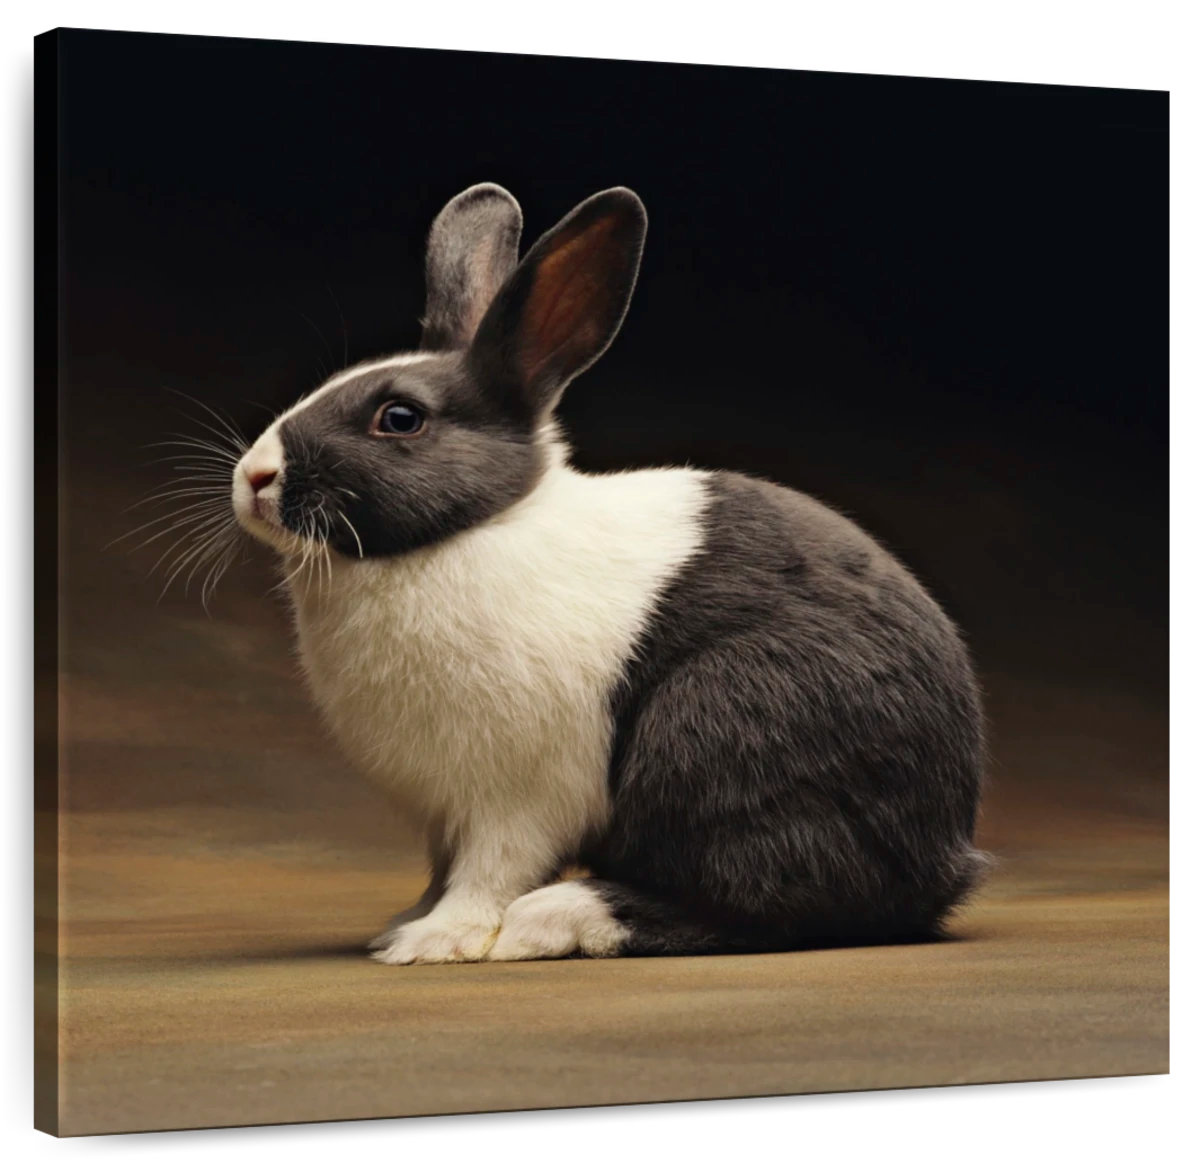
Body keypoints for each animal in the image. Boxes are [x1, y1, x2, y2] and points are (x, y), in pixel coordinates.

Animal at [231, 183, 987, 964]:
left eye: (400, 417)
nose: (254, 477)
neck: (470, 532)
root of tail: (944, 857)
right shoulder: (447, 813)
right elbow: (443, 871)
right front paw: (404, 924)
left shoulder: (515, 798)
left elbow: (488, 871)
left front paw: (436, 941)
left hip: (718, 730)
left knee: (770, 899)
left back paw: (555, 919)